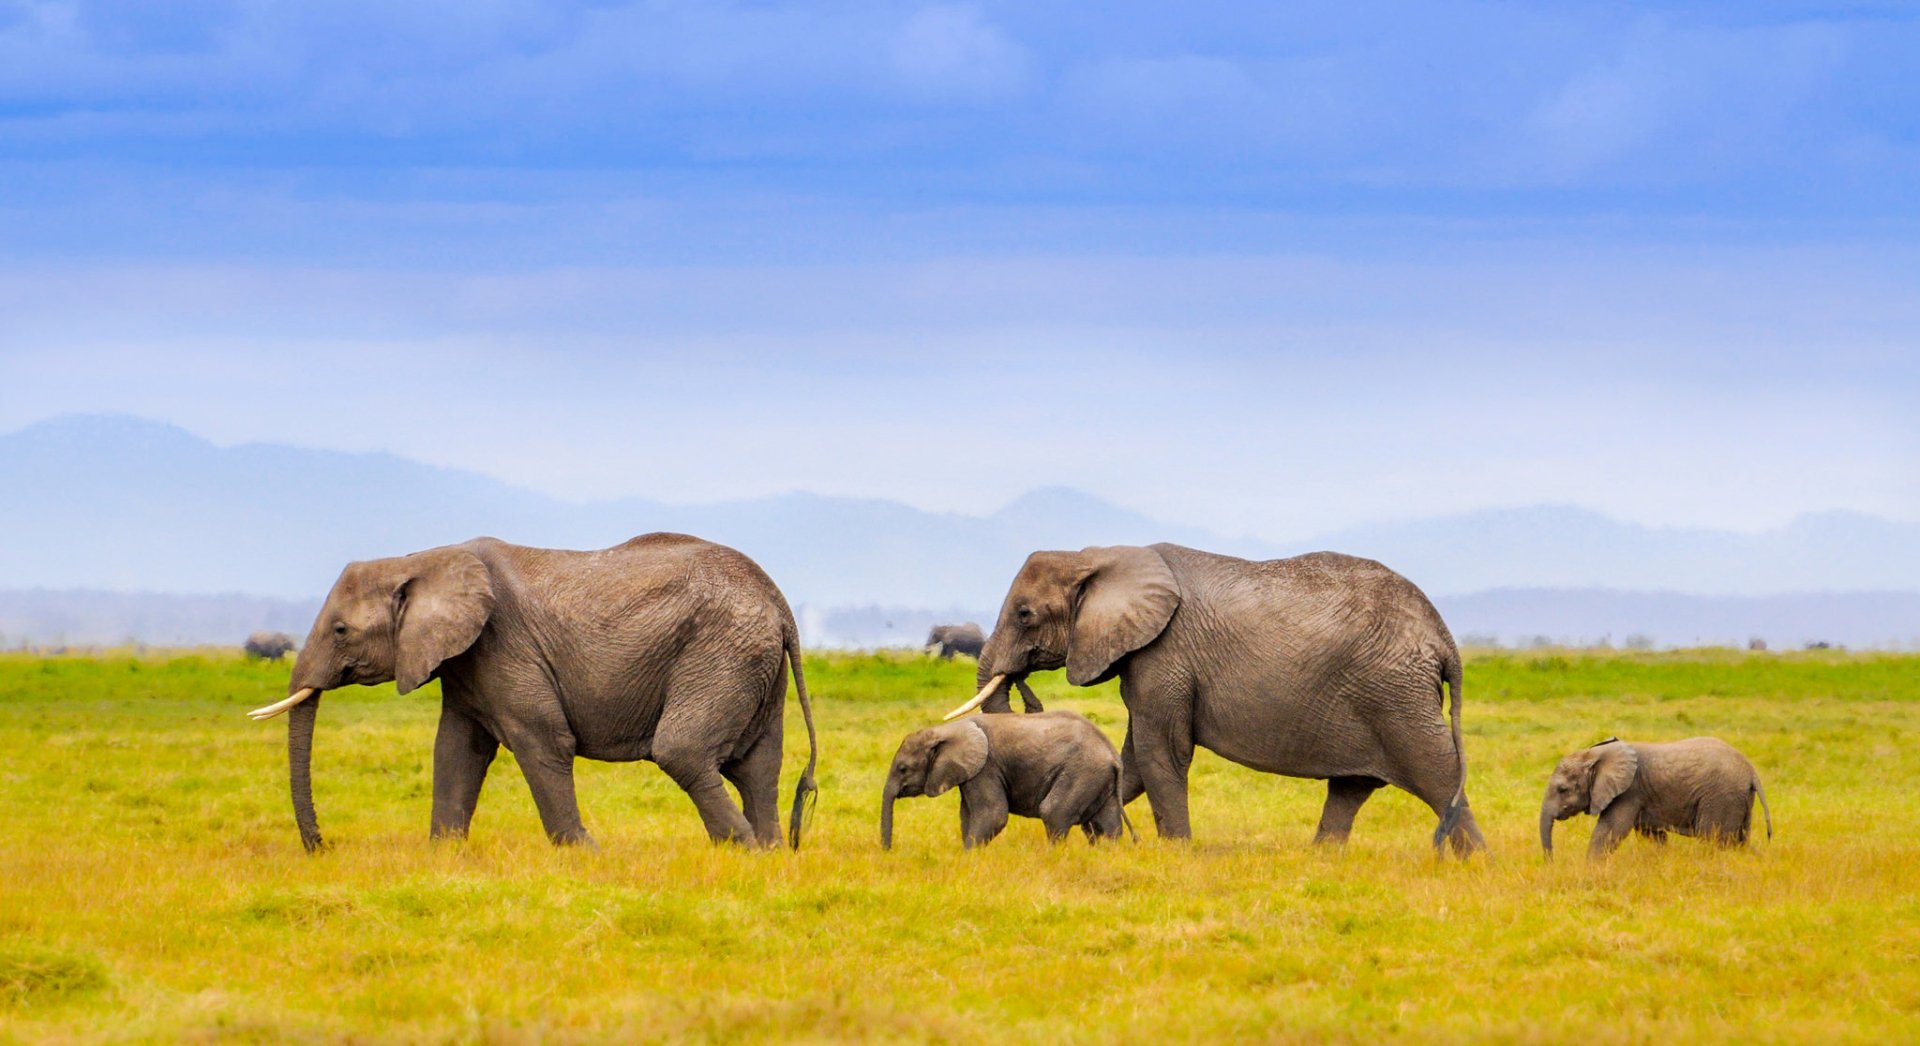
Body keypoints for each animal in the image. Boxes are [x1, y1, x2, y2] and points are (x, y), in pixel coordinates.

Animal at [246, 533, 818, 852]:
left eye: (341, 630)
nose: (322, 847)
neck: (421, 560)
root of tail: (780, 603)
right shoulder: (467, 663)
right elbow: (456, 751)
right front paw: (443, 855)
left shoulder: (505, 646)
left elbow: (542, 742)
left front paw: (585, 855)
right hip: (752, 664)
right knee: (757, 765)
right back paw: (768, 853)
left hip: (720, 651)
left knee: (683, 751)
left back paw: (743, 849)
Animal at [880, 711, 1131, 849]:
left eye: (903, 769)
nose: (888, 851)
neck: (946, 729)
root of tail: (1113, 755)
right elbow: (967, 816)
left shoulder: (986, 767)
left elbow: (993, 815)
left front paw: (968, 857)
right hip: (1097, 777)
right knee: (1106, 824)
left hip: (1081, 772)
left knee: (1053, 812)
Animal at [945, 544, 1485, 856]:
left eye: (1024, 614)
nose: (1025, 692)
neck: (1097, 555)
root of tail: (1443, 638)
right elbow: (1132, 759)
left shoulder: (1164, 655)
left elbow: (1159, 752)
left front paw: (1175, 854)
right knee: (1351, 789)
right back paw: (1321, 860)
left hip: (1397, 696)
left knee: (1437, 776)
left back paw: (1477, 864)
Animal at [1540, 737, 1772, 859]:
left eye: (1562, 789)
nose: (1551, 862)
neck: (1598, 753)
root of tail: (1752, 771)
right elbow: (1652, 836)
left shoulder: (1629, 792)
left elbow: (1609, 831)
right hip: (1737, 799)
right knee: (1738, 841)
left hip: (1721, 797)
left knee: (1714, 839)